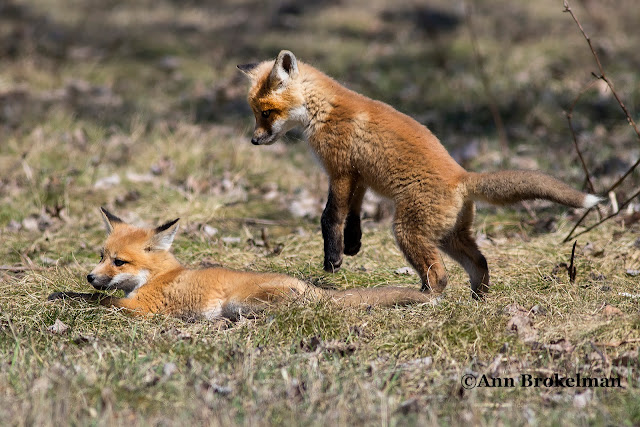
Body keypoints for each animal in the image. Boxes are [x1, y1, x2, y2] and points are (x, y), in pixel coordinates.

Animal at [47, 208, 433, 319]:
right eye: (101, 256)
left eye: (119, 262)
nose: (89, 275)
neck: (157, 278)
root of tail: (314, 289)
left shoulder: (142, 308)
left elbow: (98, 301)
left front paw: (65, 296)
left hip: (244, 302)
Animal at [238, 50, 602, 298]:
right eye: (254, 113)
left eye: (267, 113)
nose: (254, 141)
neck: (323, 110)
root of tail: (462, 177)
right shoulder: (360, 177)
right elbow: (354, 216)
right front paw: (353, 245)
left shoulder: (339, 171)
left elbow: (330, 217)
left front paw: (333, 258)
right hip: (449, 236)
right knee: (480, 264)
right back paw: (477, 301)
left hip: (408, 232)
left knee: (440, 276)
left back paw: (422, 300)